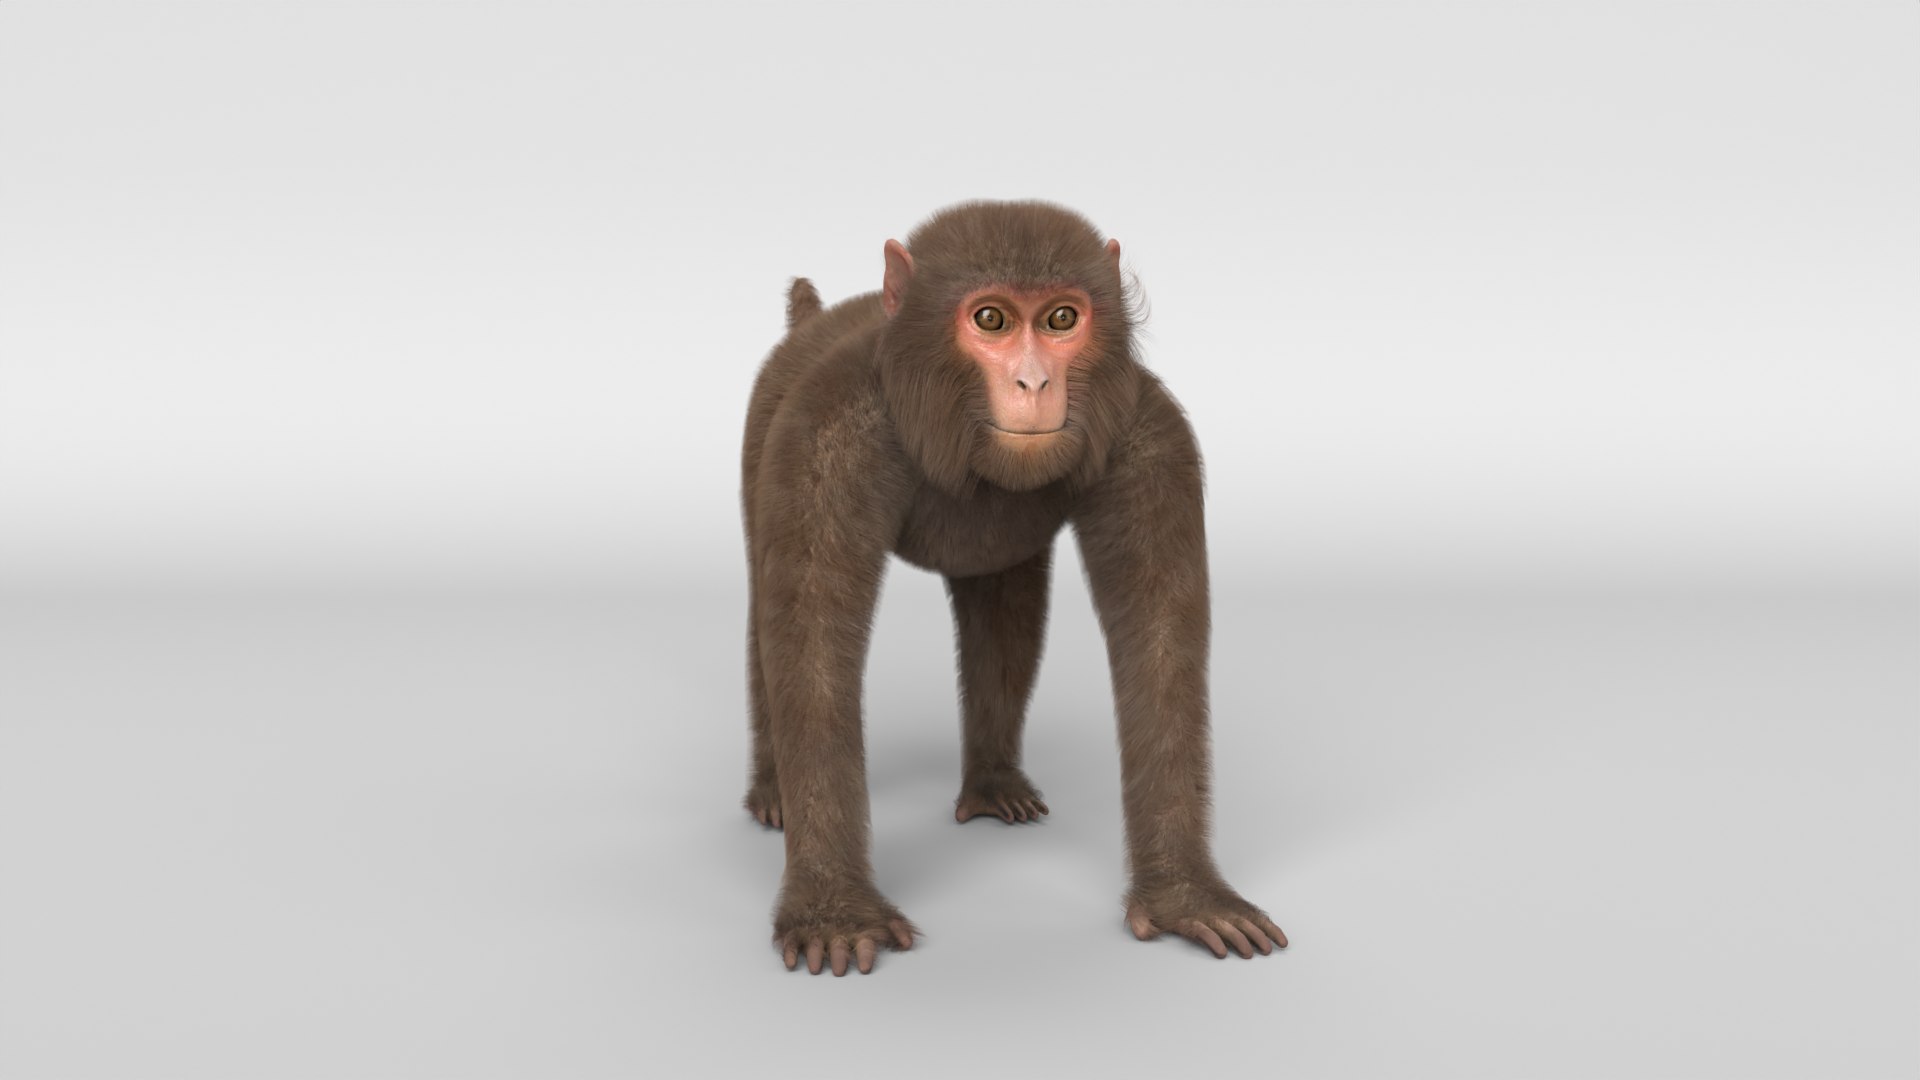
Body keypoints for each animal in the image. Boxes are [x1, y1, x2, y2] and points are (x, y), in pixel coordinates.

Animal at [740, 200, 1286, 976]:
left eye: (1060, 319)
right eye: (992, 320)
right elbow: (809, 644)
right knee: (765, 606)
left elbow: (1160, 642)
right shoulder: (826, 439)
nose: (1034, 384)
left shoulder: (1150, 437)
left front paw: (1186, 895)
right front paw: (834, 912)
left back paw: (993, 782)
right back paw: (772, 792)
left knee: (1004, 609)